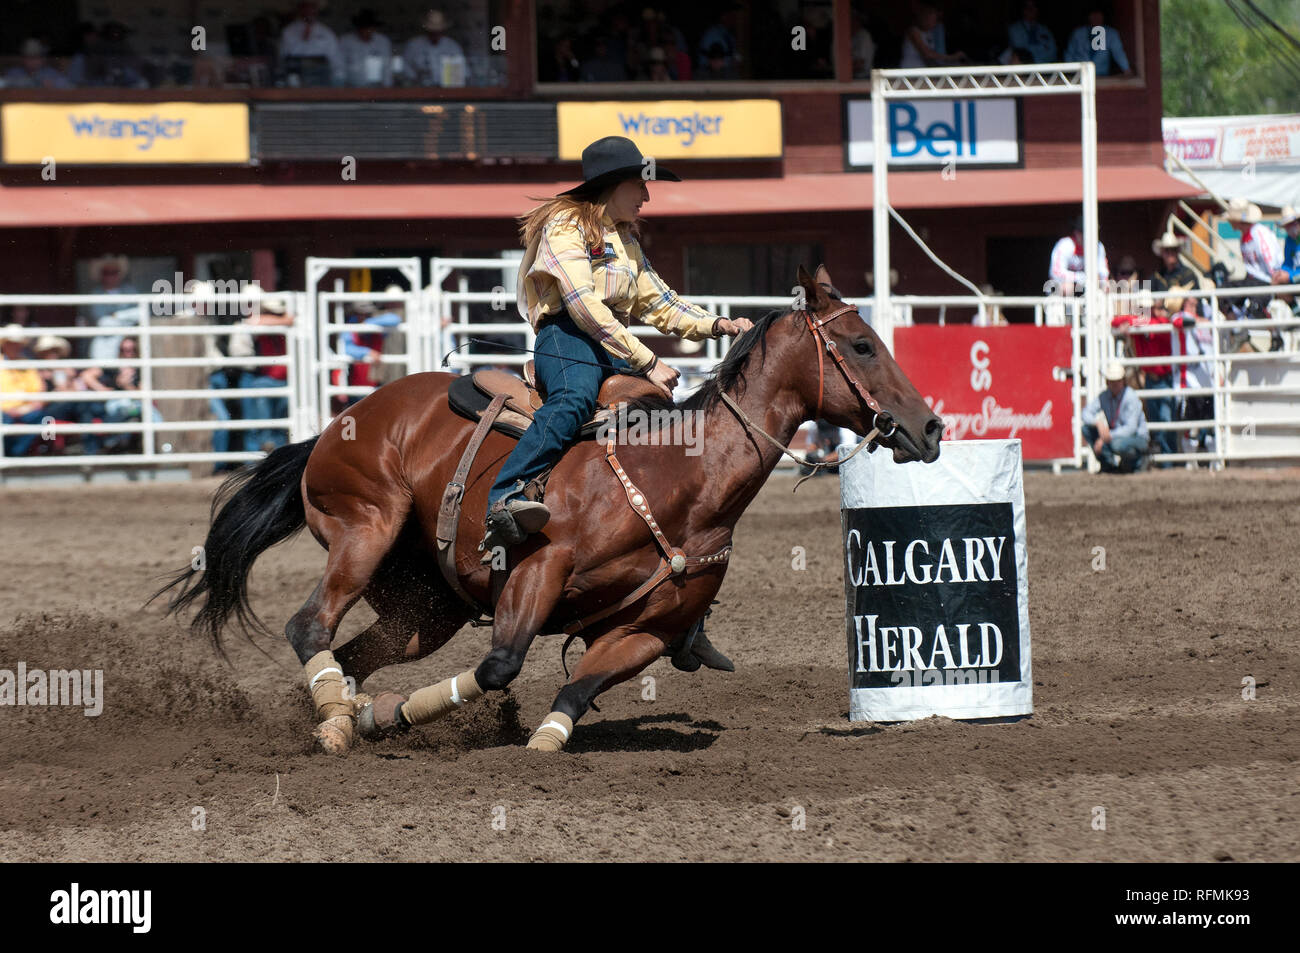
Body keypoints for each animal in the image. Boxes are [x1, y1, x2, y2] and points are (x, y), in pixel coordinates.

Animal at [156, 265, 943, 754]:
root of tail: (337, 423)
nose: (930, 428)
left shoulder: (651, 630)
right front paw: (402, 718)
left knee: (351, 652)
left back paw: (345, 717)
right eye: (861, 344)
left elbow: (580, 685)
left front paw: (531, 736)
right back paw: (334, 725)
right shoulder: (536, 572)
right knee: (308, 624)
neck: (678, 477)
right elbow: (501, 665)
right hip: (363, 531)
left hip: (424, 607)